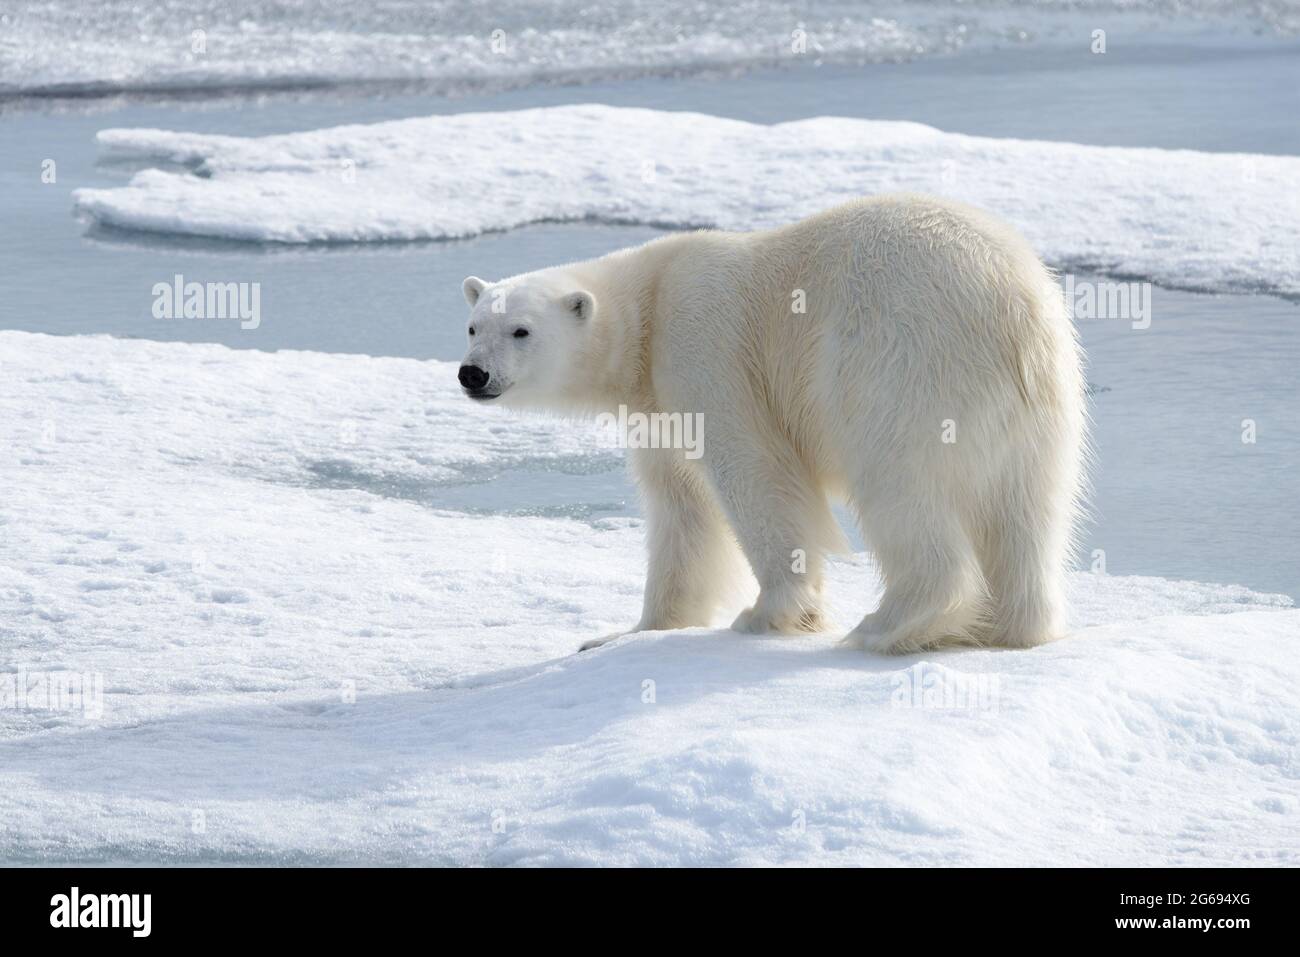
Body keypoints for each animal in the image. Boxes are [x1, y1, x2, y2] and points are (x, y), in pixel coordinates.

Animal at [457, 194, 1087, 654]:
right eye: (472, 325)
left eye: (521, 330)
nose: (472, 374)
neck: (649, 306)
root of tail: (1013, 312)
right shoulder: (657, 409)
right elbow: (681, 509)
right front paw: (630, 632)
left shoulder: (703, 347)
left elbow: (754, 471)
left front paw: (771, 614)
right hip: (1044, 408)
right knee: (1030, 511)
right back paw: (1010, 628)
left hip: (899, 366)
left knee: (900, 486)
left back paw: (890, 624)